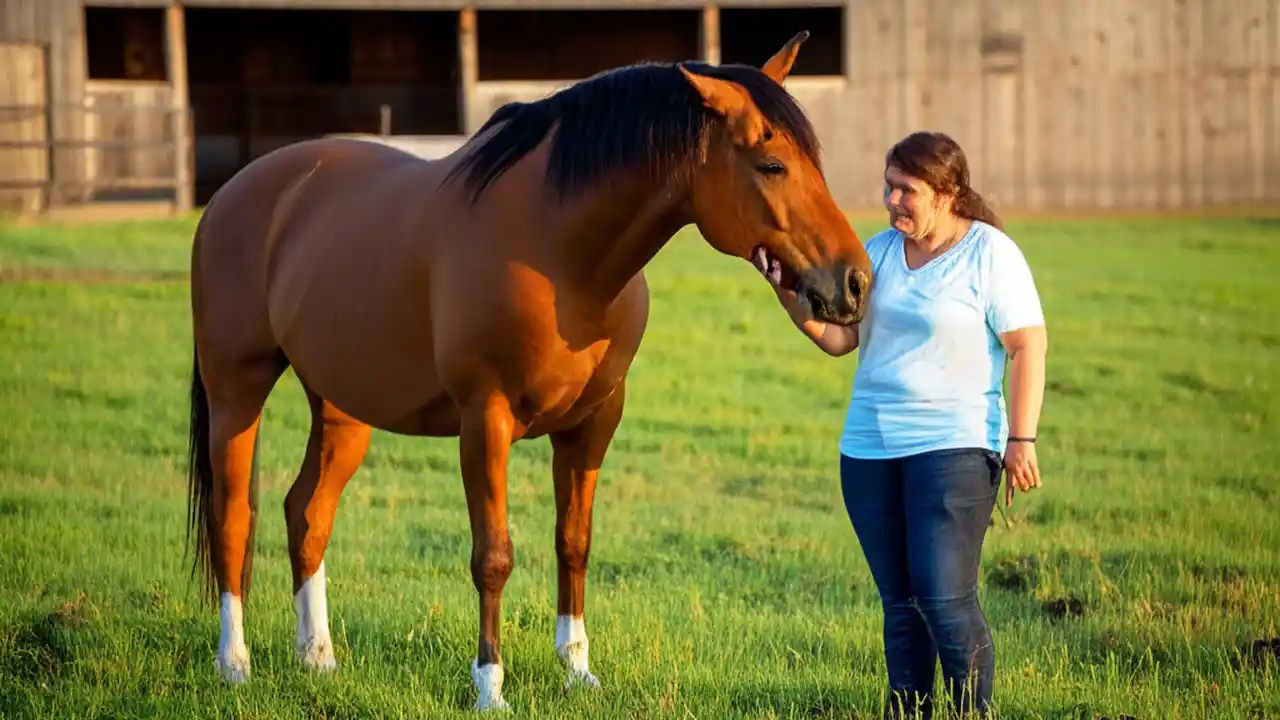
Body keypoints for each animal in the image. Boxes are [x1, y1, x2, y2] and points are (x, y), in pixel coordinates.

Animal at [185, 31, 871, 710]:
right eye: (773, 165)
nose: (854, 282)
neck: (558, 247)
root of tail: (235, 192)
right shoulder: (484, 420)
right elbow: (493, 556)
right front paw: (490, 687)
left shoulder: (593, 423)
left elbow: (574, 542)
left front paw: (577, 670)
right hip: (236, 390)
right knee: (233, 517)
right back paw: (234, 664)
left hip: (341, 408)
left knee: (307, 513)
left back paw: (318, 658)